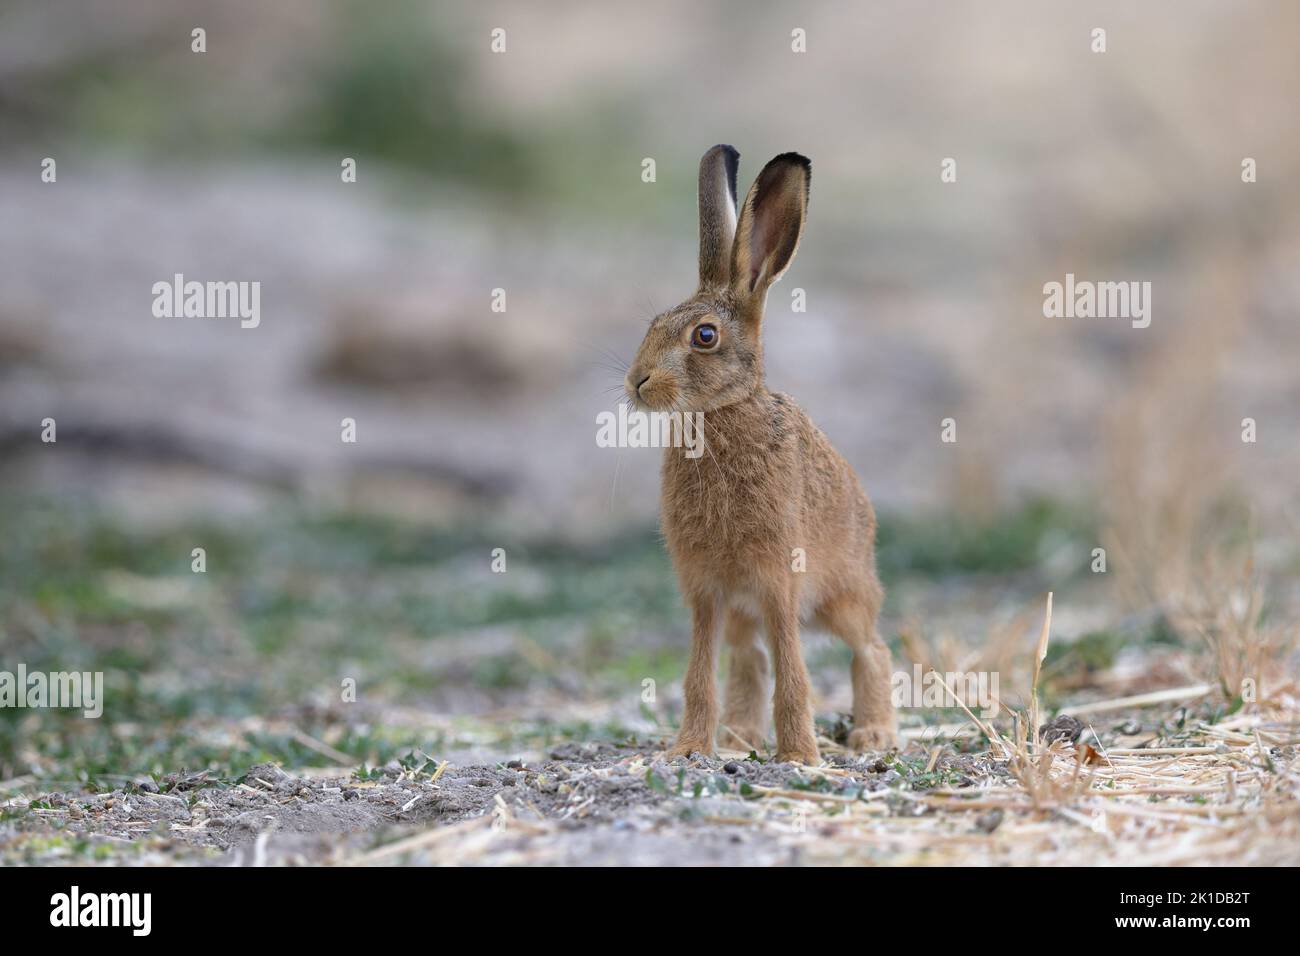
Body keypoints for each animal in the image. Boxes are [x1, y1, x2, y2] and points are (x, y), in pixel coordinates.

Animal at [624, 145, 898, 764]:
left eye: (704, 337)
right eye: (652, 326)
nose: (638, 383)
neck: (722, 413)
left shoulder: (778, 581)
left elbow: (794, 672)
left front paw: (798, 756)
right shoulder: (706, 590)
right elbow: (700, 673)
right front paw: (688, 750)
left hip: (841, 596)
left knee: (871, 647)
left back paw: (874, 733)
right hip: (741, 612)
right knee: (747, 656)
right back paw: (737, 737)